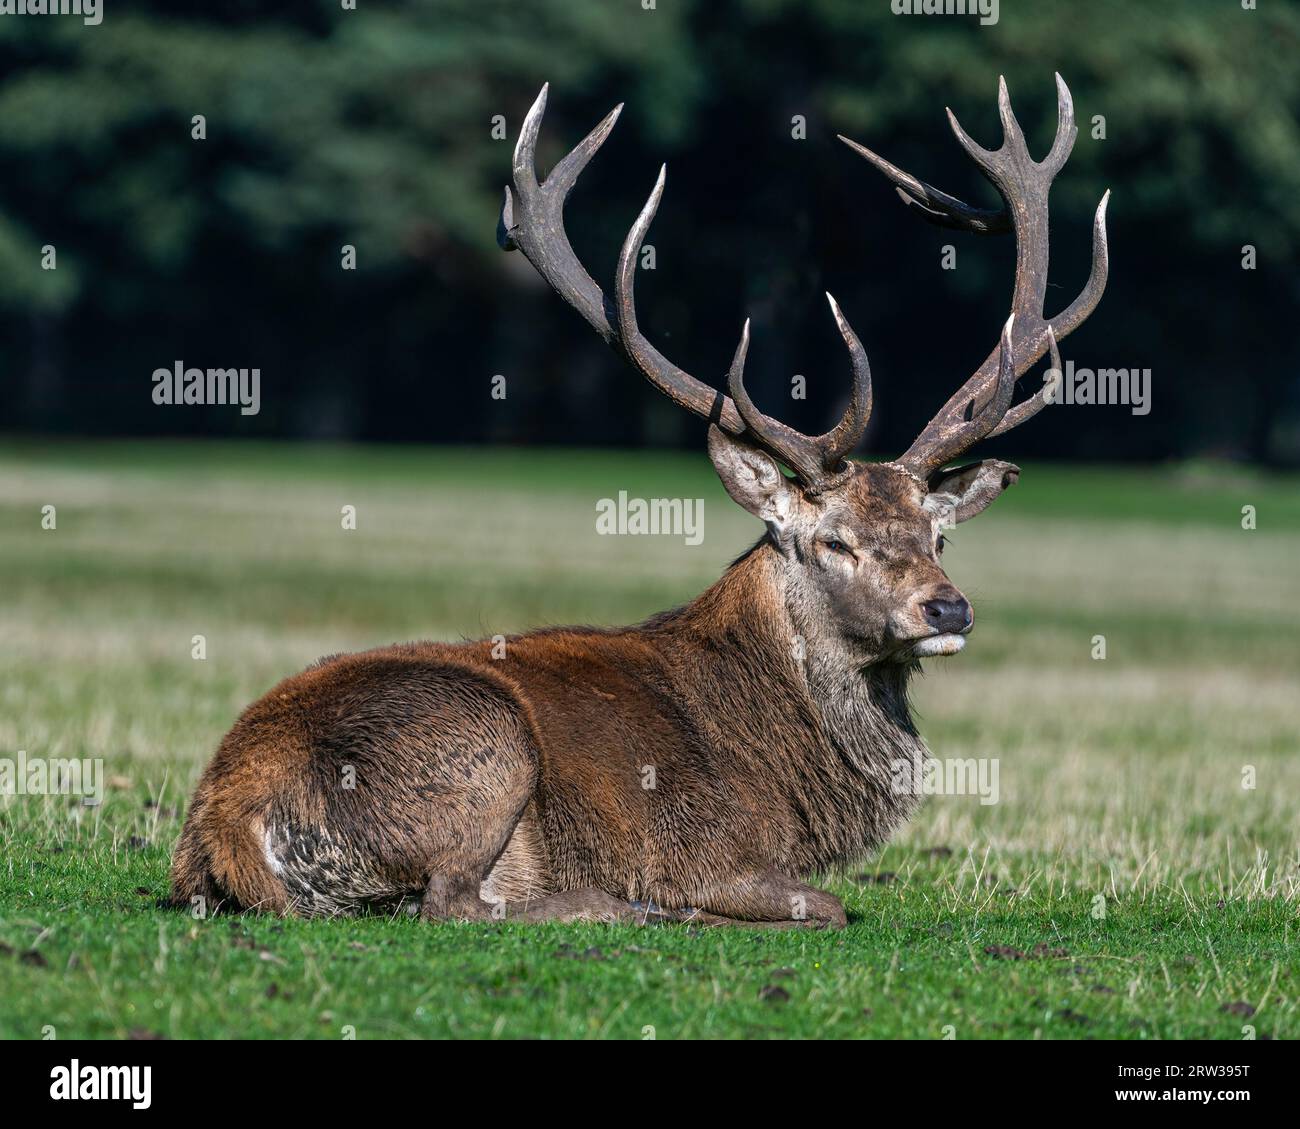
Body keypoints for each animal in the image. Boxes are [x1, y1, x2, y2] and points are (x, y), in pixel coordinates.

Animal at [170, 76, 1108, 928]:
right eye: (833, 541)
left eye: (938, 537)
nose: (947, 607)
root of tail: (224, 821)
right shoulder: (704, 846)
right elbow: (829, 904)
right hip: (483, 741)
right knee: (452, 902)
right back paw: (628, 908)